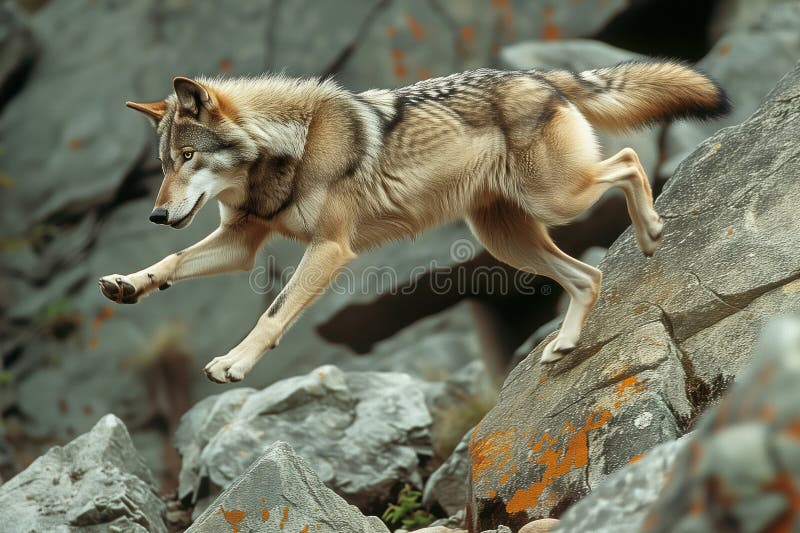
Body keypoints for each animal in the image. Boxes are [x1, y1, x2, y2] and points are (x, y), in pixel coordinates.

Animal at [99, 62, 728, 383]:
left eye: (188, 157)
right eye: (164, 166)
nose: (156, 213)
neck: (289, 149)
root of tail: (542, 74)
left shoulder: (329, 248)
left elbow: (272, 314)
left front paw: (235, 363)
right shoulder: (240, 242)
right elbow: (172, 261)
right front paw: (127, 283)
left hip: (558, 199)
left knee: (629, 162)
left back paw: (651, 232)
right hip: (506, 237)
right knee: (588, 276)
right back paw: (565, 343)